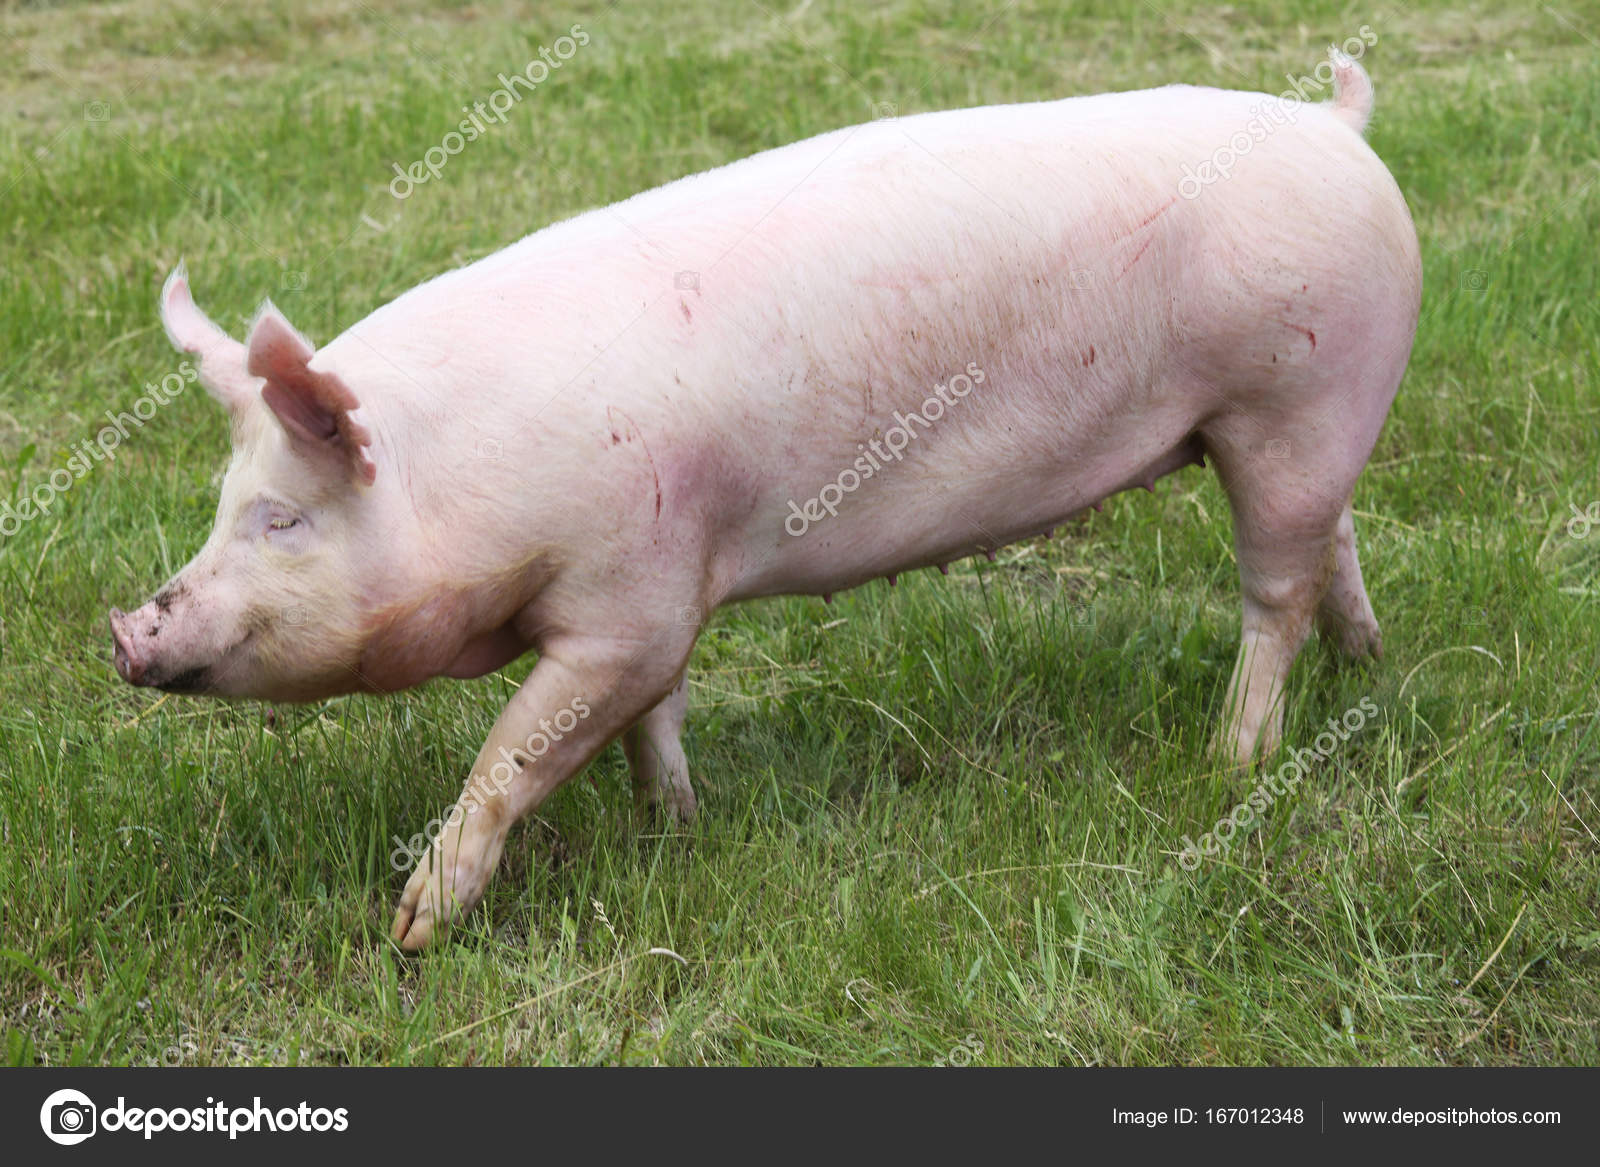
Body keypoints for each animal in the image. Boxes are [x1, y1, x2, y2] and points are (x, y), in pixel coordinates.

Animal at [110, 52, 1419, 949]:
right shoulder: (665, 591)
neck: (466, 481)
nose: (126, 629)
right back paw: (1362, 666)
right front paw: (672, 834)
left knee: (1274, 586)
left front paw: (412, 930)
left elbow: (520, 747)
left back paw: (1233, 760)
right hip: (1294, 425)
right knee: (1334, 543)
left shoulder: (626, 597)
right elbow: (653, 719)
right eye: (224, 503)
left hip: (1295, 394)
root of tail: (1338, 124)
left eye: (285, 520)